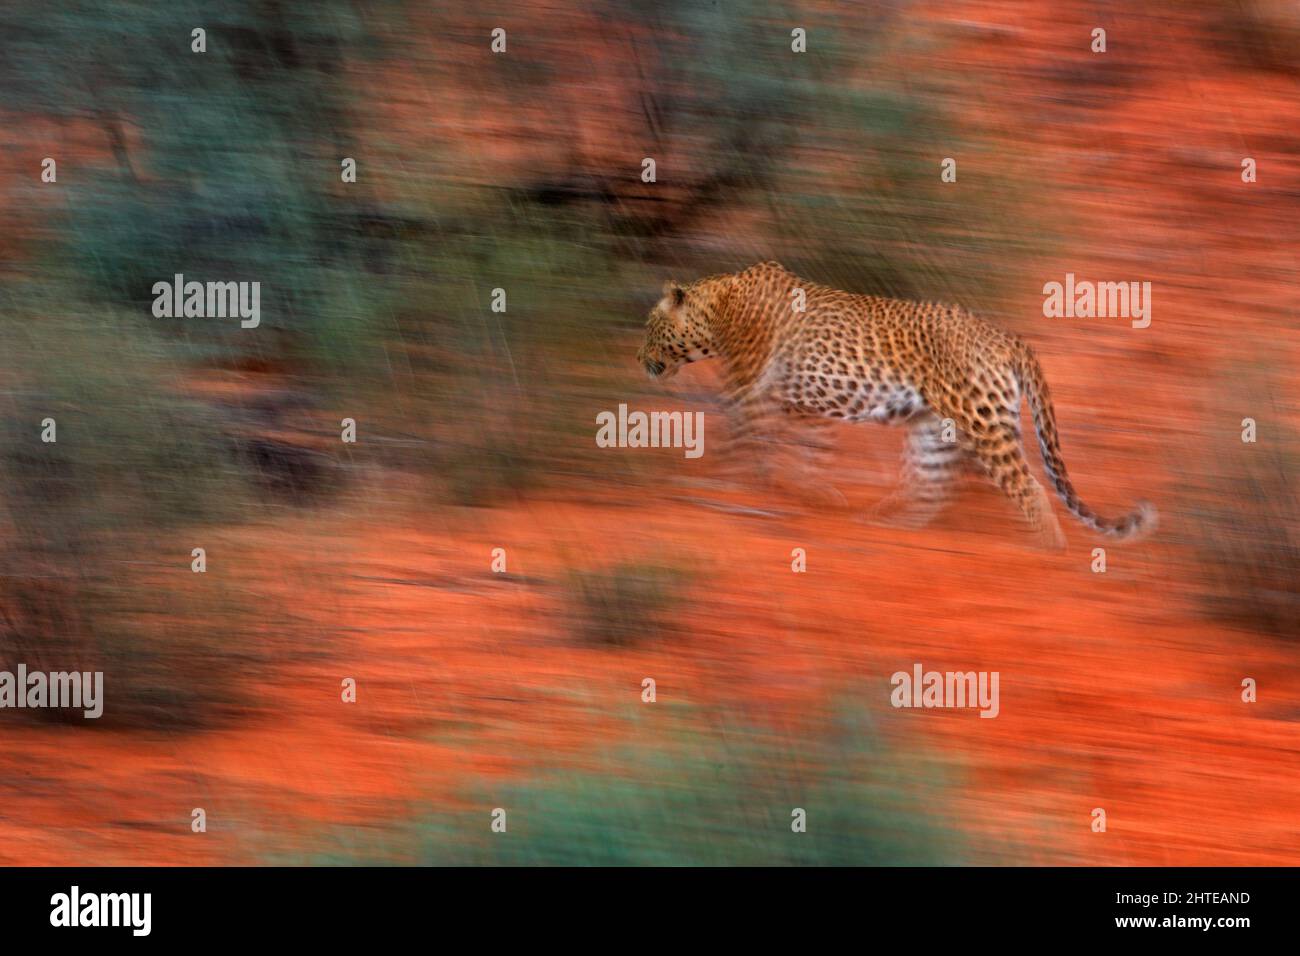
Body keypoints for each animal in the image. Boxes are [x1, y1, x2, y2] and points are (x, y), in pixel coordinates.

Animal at [636, 260, 1156, 548]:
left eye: (649, 327)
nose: (639, 359)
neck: (719, 306)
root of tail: (1006, 336)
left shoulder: (748, 386)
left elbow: (741, 440)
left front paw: (724, 487)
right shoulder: (802, 406)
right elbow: (807, 451)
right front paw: (812, 492)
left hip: (982, 422)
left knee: (1027, 488)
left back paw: (1049, 553)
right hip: (935, 426)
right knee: (932, 487)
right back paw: (884, 524)